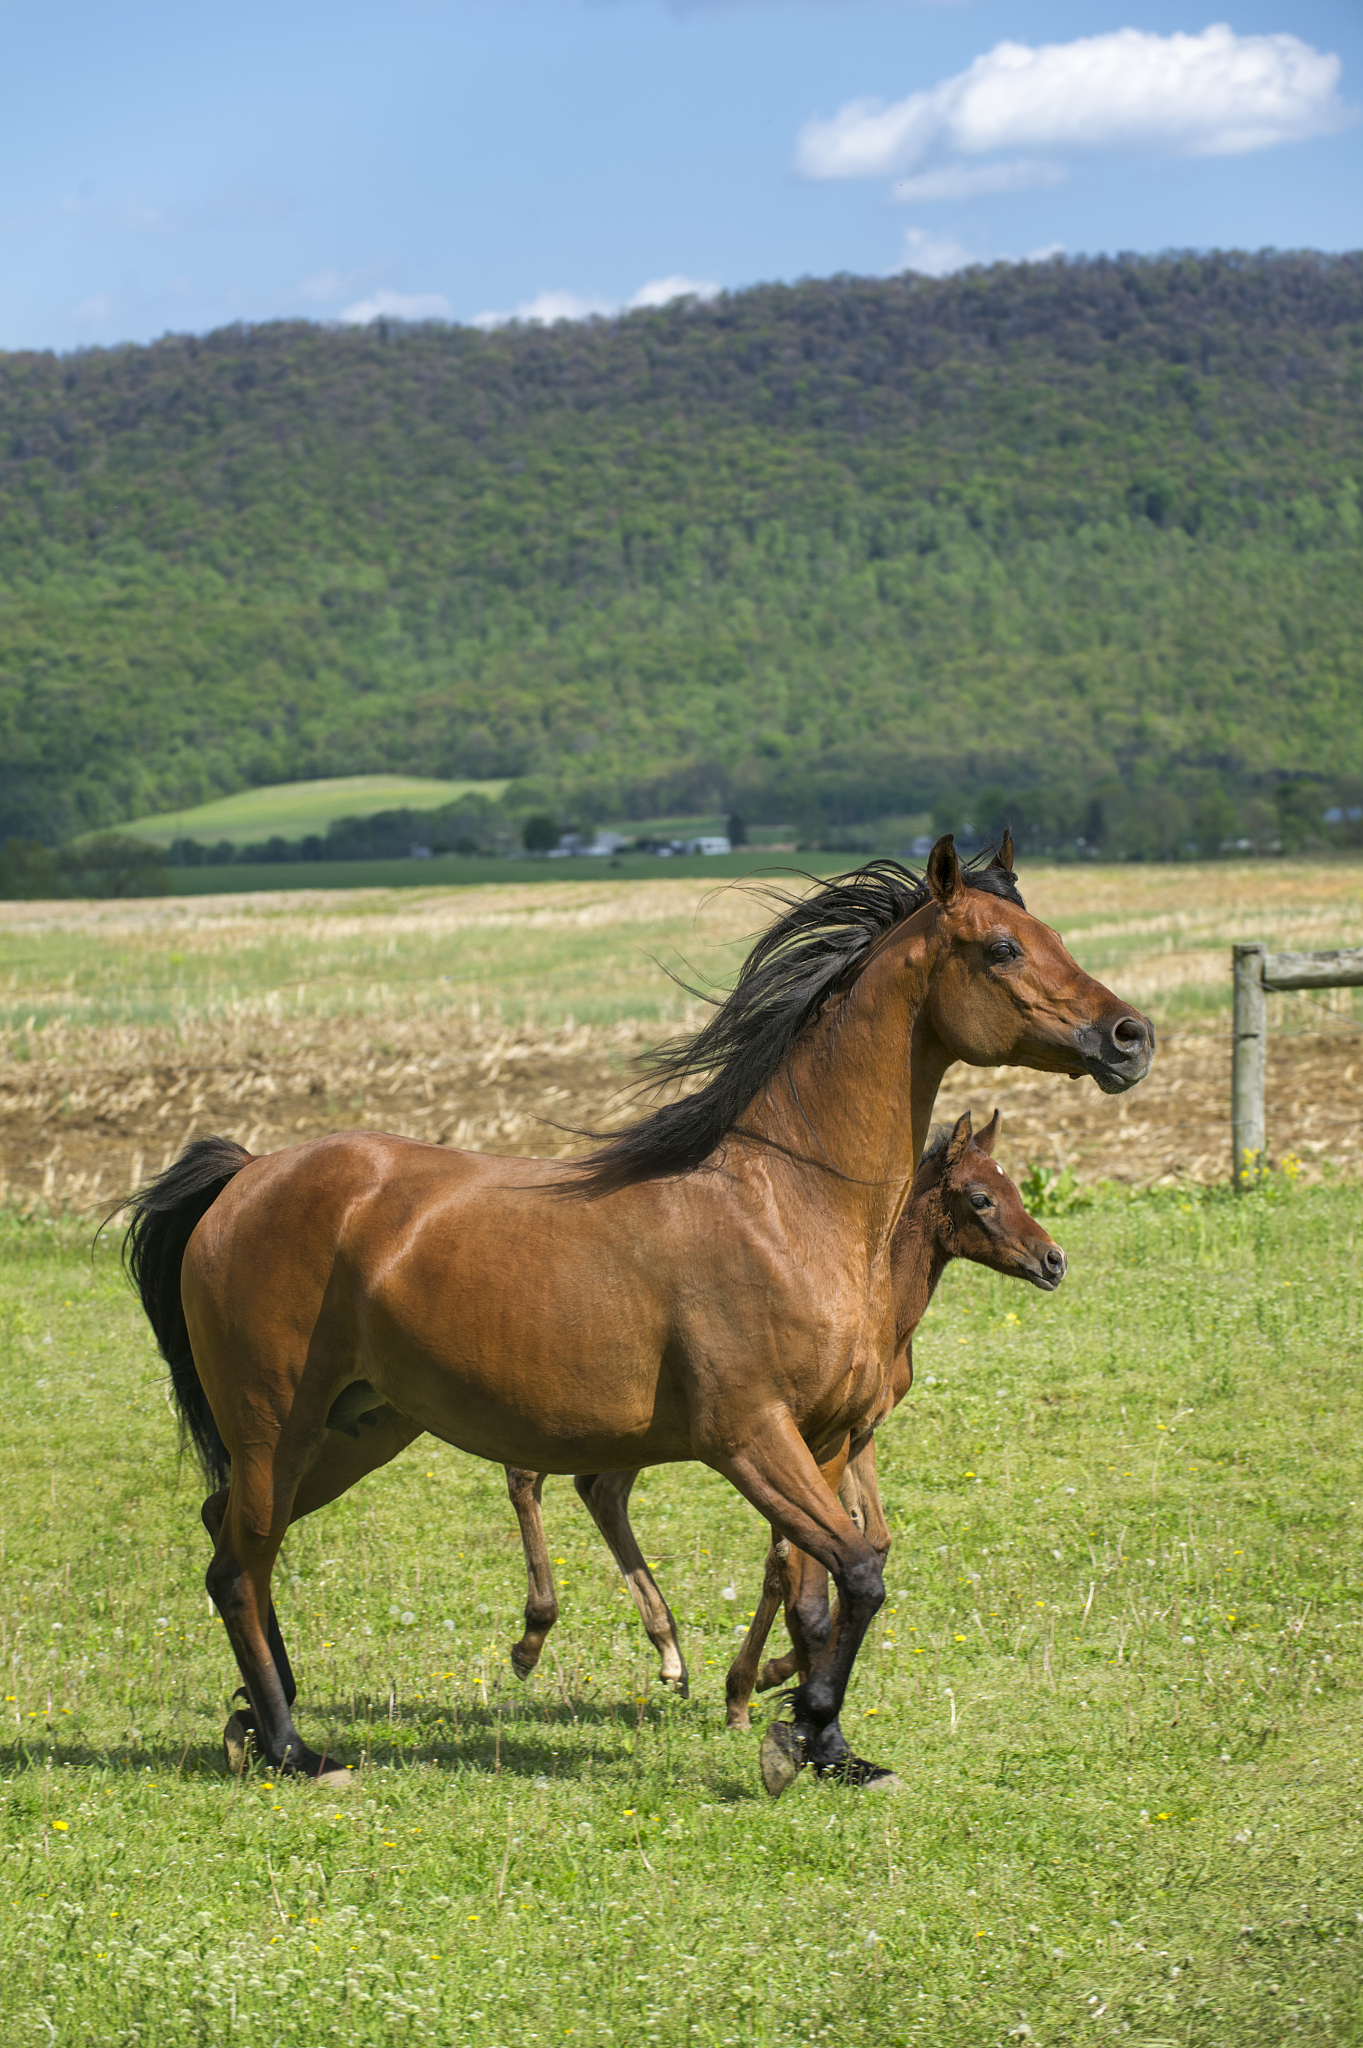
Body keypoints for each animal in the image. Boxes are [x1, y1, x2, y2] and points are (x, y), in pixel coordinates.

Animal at [499, 1107, 1064, 1730]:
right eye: (981, 1198)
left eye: (1019, 1190)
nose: (1053, 1260)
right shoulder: (794, 1431)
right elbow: (790, 1556)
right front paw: (753, 1683)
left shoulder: (855, 1434)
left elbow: (870, 1541)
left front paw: (776, 1671)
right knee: (527, 1476)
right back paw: (535, 1634)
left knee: (599, 1490)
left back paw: (668, 1649)